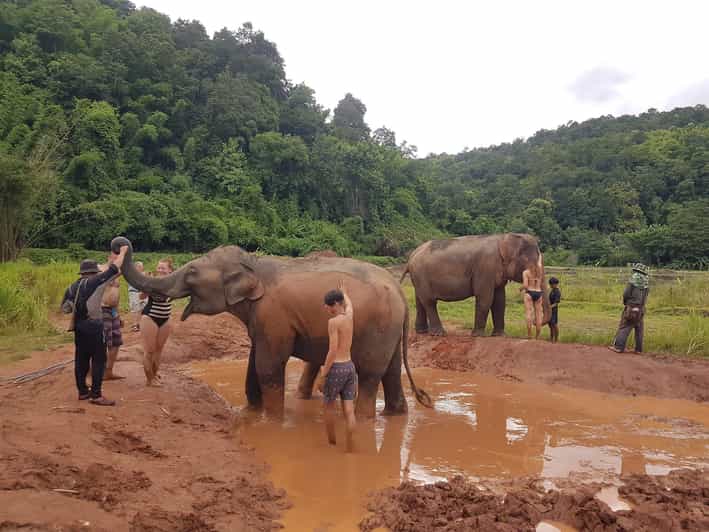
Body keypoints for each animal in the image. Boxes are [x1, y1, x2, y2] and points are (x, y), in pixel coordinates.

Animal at [111, 237, 431, 417]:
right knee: (391, 371)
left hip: (377, 328)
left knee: (369, 375)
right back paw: (395, 416)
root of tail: (400, 291)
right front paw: (248, 413)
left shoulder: (273, 317)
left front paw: (273, 421)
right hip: (389, 330)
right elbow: (253, 363)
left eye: (191, 272)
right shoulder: (260, 320)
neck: (254, 264)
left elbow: (268, 366)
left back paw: (365, 421)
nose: (119, 243)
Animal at [400, 233, 550, 336]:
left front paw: (499, 335)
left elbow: (500, 300)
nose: (536, 322)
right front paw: (478, 335)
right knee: (429, 301)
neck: (503, 237)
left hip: (418, 278)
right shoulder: (485, 268)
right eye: (530, 261)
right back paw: (439, 334)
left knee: (420, 301)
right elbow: (485, 298)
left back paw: (422, 332)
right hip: (421, 275)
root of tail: (411, 256)